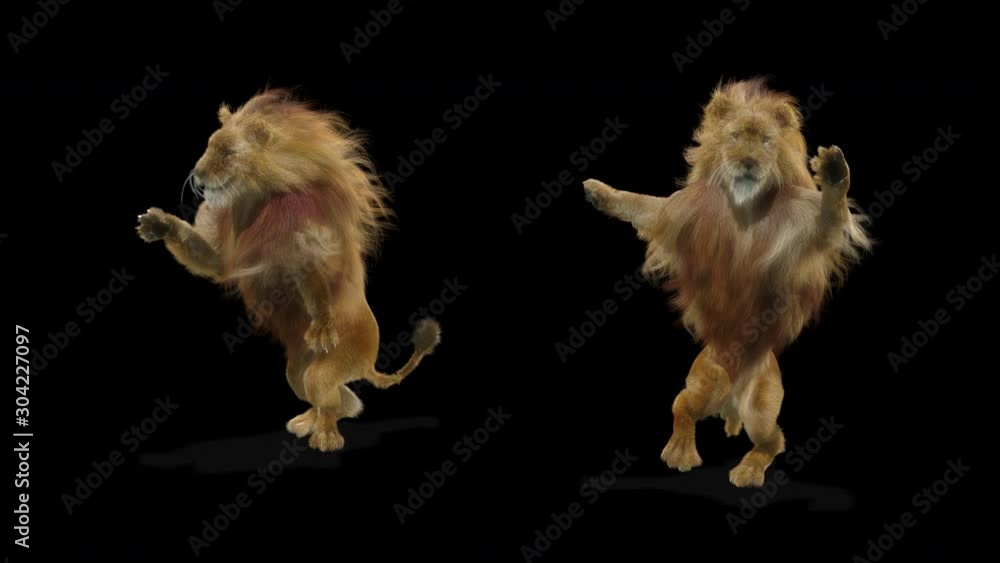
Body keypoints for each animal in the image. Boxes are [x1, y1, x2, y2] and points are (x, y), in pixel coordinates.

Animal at [136, 89, 441, 452]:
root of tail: (369, 361)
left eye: (228, 152)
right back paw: (307, 422)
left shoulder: (305, 247)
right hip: (296, 371)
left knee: (330, 398)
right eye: (209, 144)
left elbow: (317, 287)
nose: (196, 174)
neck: (255, 199)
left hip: (329, 366)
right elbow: (201, 252)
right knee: (342, 401)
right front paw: (157, 224)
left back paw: (325, 436)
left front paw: (322, 327)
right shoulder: (224, 257)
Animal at [583, 78, 871, 486]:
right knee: (680, 408)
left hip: (761, 408)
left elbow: (833, 210)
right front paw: (599, 191)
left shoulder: (810, 228)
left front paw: (833, 171)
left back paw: (746, 471)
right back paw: (680, 452)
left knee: (773, 441)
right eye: (734, 137)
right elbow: (641, 204)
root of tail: (731, 404)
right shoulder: (678, 213)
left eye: (765, 141)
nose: (748, 162)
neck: (745, 207)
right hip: (706, 380)